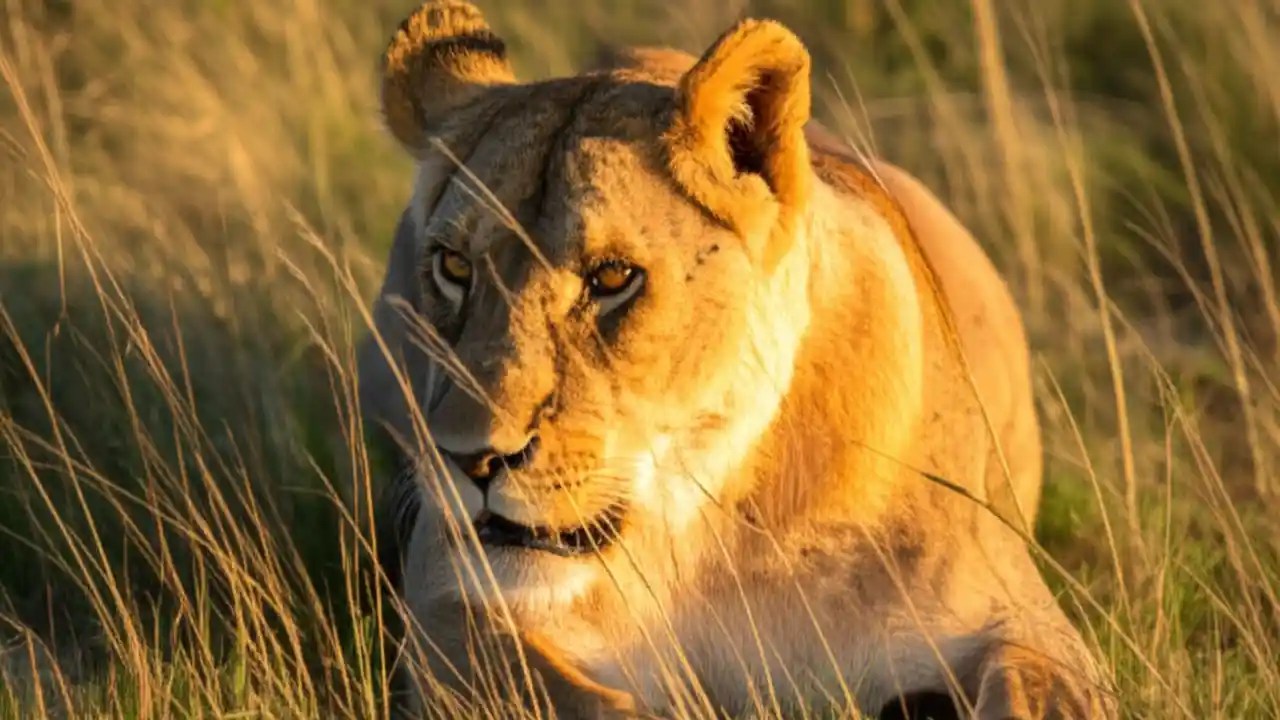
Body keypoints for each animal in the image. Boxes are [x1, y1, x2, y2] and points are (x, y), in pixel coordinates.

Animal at [357, 2, 1116, 718]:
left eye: (612, 278)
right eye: (454, 266)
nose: (472, 461)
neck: (705, 529)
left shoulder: (1027, 624)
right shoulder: (449, 602)